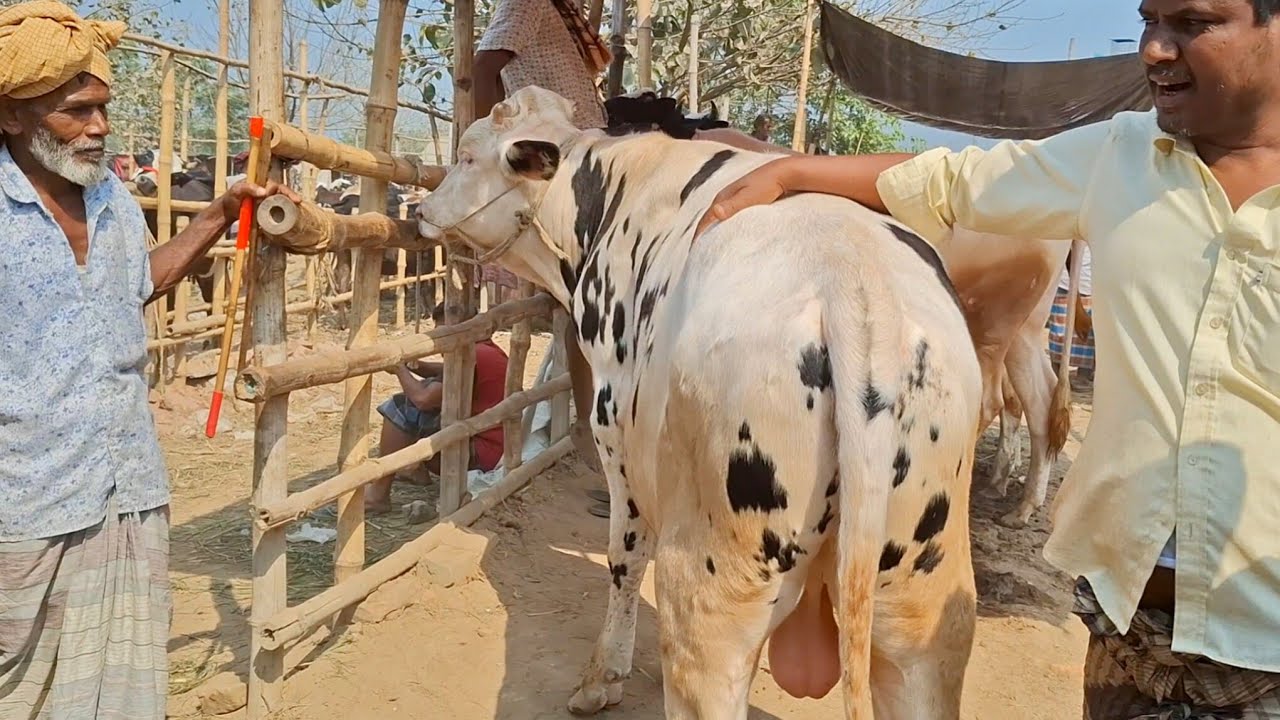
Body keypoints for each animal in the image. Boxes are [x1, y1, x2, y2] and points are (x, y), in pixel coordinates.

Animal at [417, 86, 982, 719]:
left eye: (468, 155)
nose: (421, 209)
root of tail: (855, 286)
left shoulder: (619, 437)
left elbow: (624, 556)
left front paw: (602, 678)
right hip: (922, 604)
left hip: (711, 584)